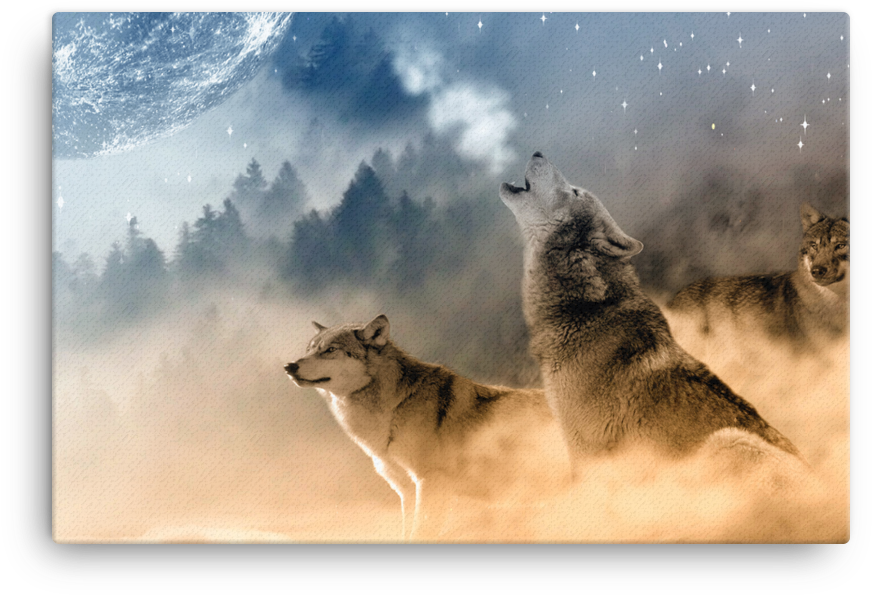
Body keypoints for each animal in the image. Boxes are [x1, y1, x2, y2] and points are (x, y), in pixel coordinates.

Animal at [284, 315, 566, 541]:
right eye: (309, 349)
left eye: (330, 350)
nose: (289, 366)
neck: (393, 409)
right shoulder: (407, 492)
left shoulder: (429, 484)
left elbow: (420, 534)